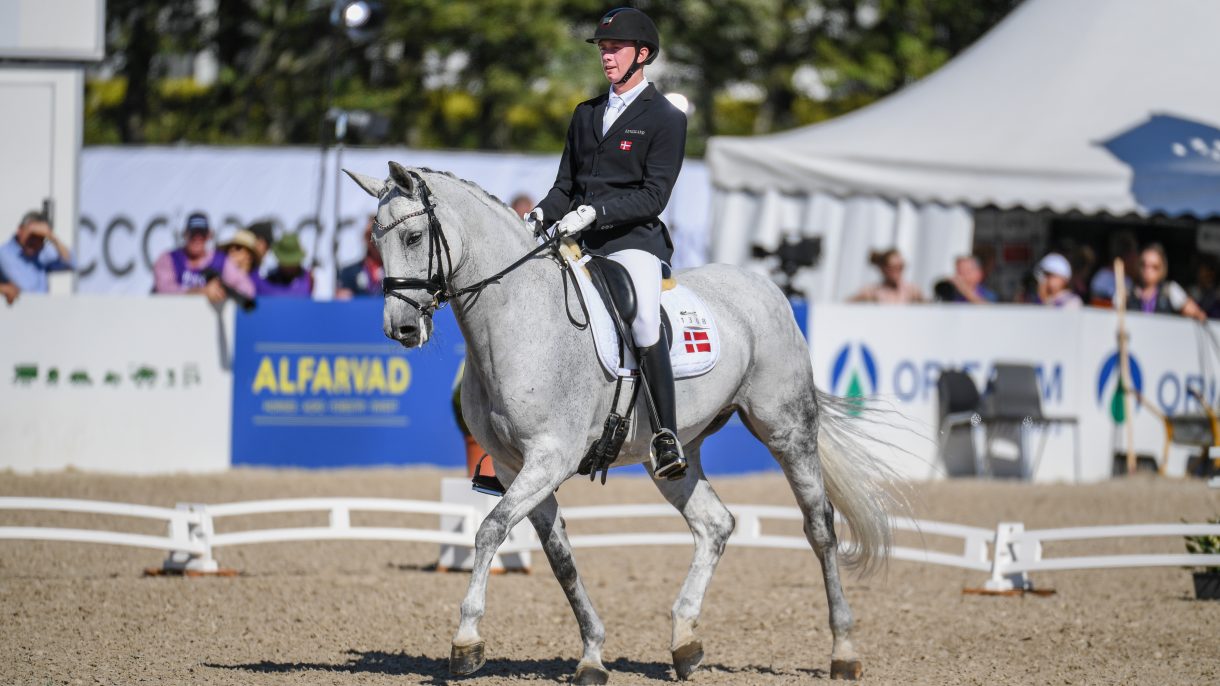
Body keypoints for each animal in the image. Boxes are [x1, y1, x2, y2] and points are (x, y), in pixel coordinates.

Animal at [344, 162, 901, 683]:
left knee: (819, 525)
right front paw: (592, 655)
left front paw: (466, 643)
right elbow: (561, 559)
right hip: (672, 455)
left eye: (413, 237)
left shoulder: (550, 457)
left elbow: (490, 530)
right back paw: (685, 643)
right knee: (714, 524)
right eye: (374, 241)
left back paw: (843, 651)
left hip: (786, 428)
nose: (401, 328)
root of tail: (765, 286)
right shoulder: (513, 467)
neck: (520, 321)